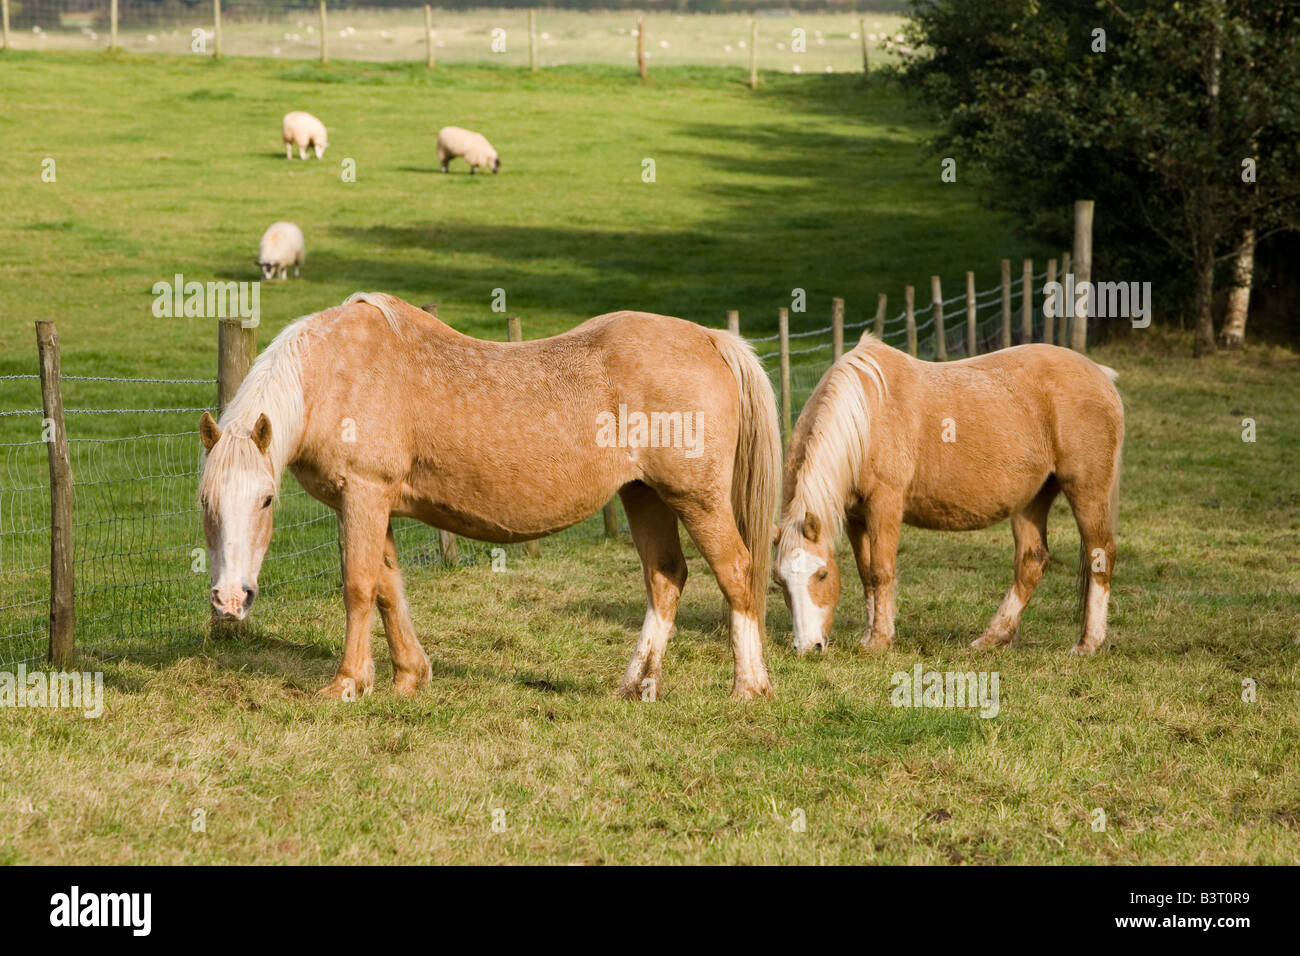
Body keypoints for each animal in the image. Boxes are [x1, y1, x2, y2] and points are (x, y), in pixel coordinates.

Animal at [197, 293, 781, 700]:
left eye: (266, 500)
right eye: (206, 504)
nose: (230, 600)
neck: (335, 374)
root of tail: (710, 339)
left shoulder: (363, 495)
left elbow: (360, 588)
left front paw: (347, 684)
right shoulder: (371, 503)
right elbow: (389, 588)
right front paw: (408, 677)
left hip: (697, 499)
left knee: (736, 571)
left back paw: (749, 687)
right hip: (645, 496)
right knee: (665, 578)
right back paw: (635, 686)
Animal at [773, 332, 1123, 656]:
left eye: (822, 574)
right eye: (779, 582)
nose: (808, 646)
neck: (866, 416)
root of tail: (1102, 376)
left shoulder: (884, 505)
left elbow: (881, 570)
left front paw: (880, 640)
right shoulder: (856, 516)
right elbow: (865, 573)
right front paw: (870, 635)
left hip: (1086, 491)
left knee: (1101, 553)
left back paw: (1088, 643)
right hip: (1032, 499)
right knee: (1031, 561)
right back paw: (992, 638)